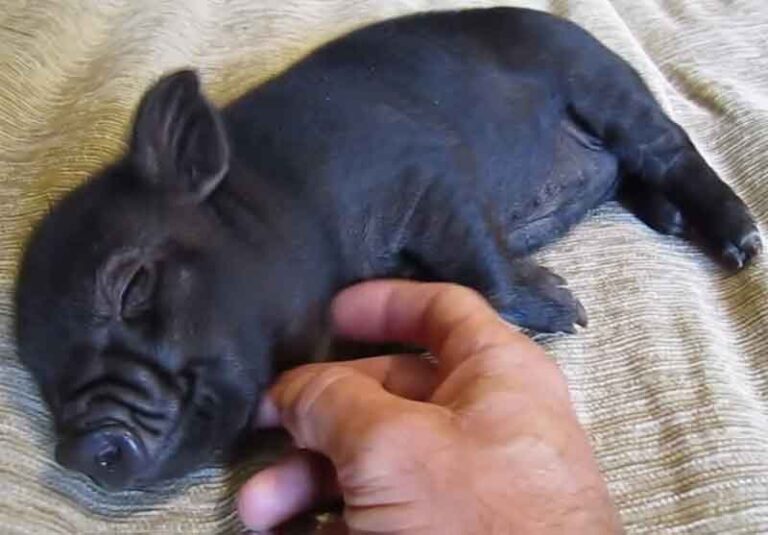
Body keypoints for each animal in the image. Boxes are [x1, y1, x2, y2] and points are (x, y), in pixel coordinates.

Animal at [14, 7, 761, 490]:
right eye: (41, 375)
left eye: (132, 285)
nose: (75, 448)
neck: (282, 204)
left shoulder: (423, 170)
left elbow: (480, 265)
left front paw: (569, 309)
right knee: (638, 176)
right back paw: (667, 219)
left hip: (602, 82)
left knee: (670, 148)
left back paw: (743, 244)